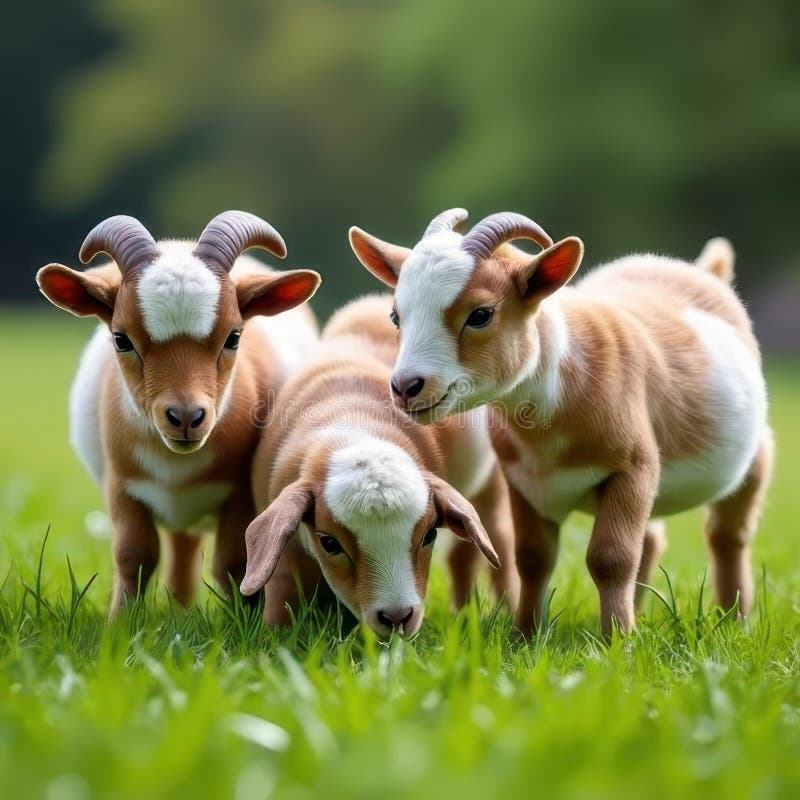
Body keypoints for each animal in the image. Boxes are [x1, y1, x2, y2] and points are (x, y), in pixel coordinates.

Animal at [37, 211, 321, 615]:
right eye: (121, 339)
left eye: (234, 337)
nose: (186, 418)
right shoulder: (122, 484)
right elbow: (133, 554)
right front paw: (119, 623)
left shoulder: (239, 495)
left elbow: (234, 561)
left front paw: (244, 621)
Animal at [240, 294, 517, 637]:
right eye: (329, 543)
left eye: (429, 536)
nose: (397, 617)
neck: (352, 420)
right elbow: (282, 585)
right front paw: (277, 634)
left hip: (490, 484)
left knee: (500, 542)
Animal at [349, 209, 772, 634]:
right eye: (395, 316)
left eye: (481, 314)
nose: (406, 387)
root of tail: (703, 270)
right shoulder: (524, 481)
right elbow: (532, 557)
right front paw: (525, 633)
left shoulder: (633, 468)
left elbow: (611, 557)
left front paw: (618, 638)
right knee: (652, 539)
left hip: (755, 454)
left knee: (727, 535)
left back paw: (734, 620)